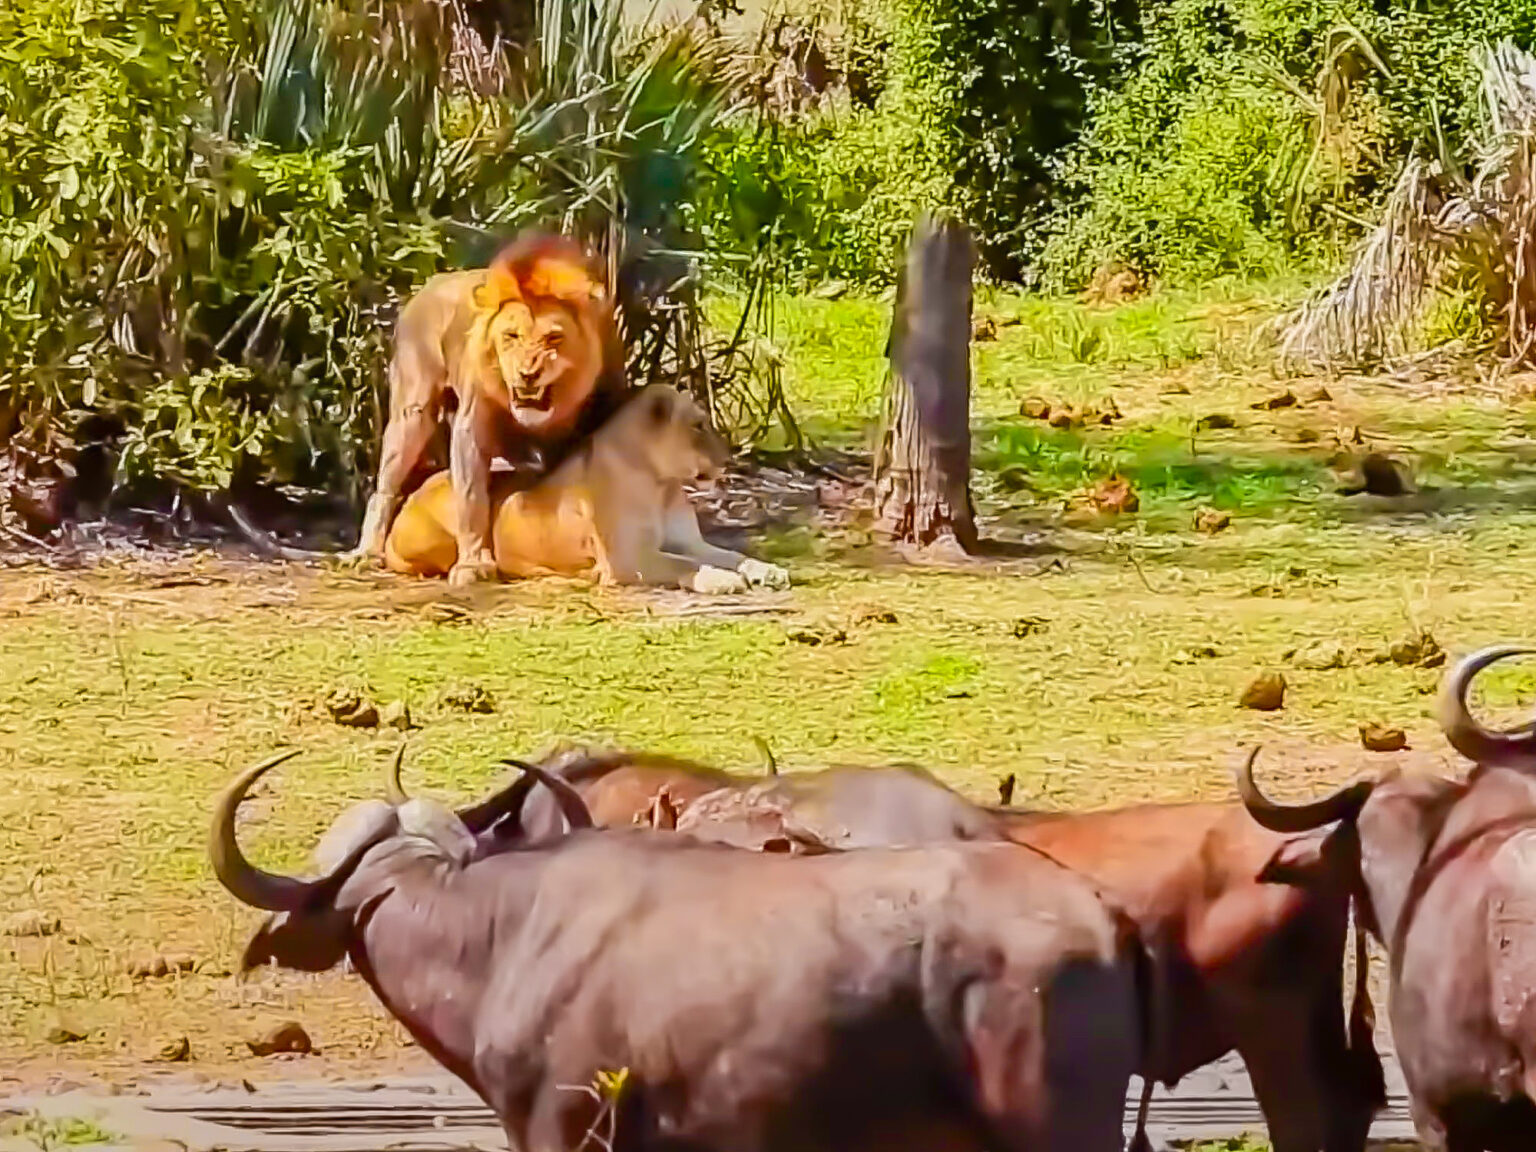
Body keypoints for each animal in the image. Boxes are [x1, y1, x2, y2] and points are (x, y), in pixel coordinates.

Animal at [351, 231, 628, 586]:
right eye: (511, 336)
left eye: (554, 339)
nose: (527, 374)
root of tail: (433, 282)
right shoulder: (472, 425)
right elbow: (471, 500)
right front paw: (472, 564)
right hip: (411, 411)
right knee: (385, 487)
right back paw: (366, 553)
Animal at [383, 384, 791, 594]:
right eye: (698, 425)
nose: (728, 459)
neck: (661, 484)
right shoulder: (628, 559)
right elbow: (685, 564)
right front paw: (722, 580)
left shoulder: (689, 541)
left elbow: (730, 554)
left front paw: (767, 571)